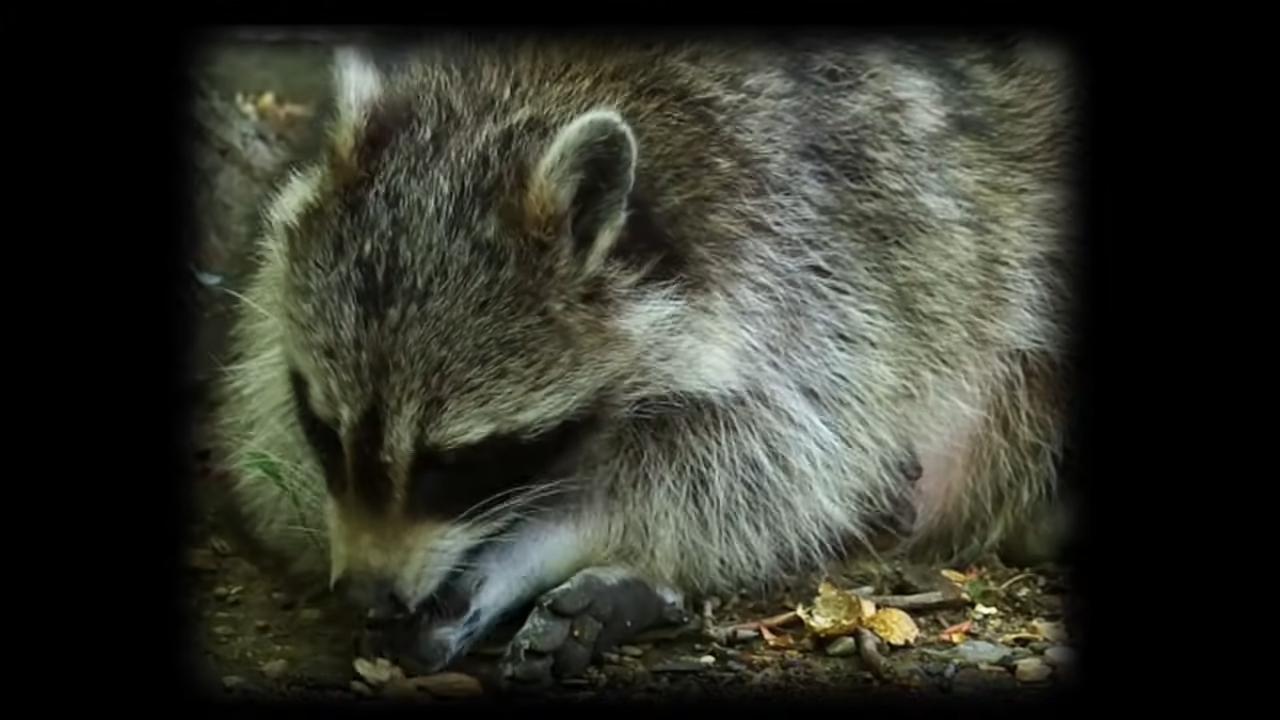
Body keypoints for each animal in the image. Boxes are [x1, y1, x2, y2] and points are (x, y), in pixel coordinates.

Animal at [212, 35, 1075, 681]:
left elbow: (767, 474)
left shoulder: (824, 280)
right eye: (326, 430)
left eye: (456, 462)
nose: (366, 593)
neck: (528, 91)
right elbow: (267, 457)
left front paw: (536, 546)